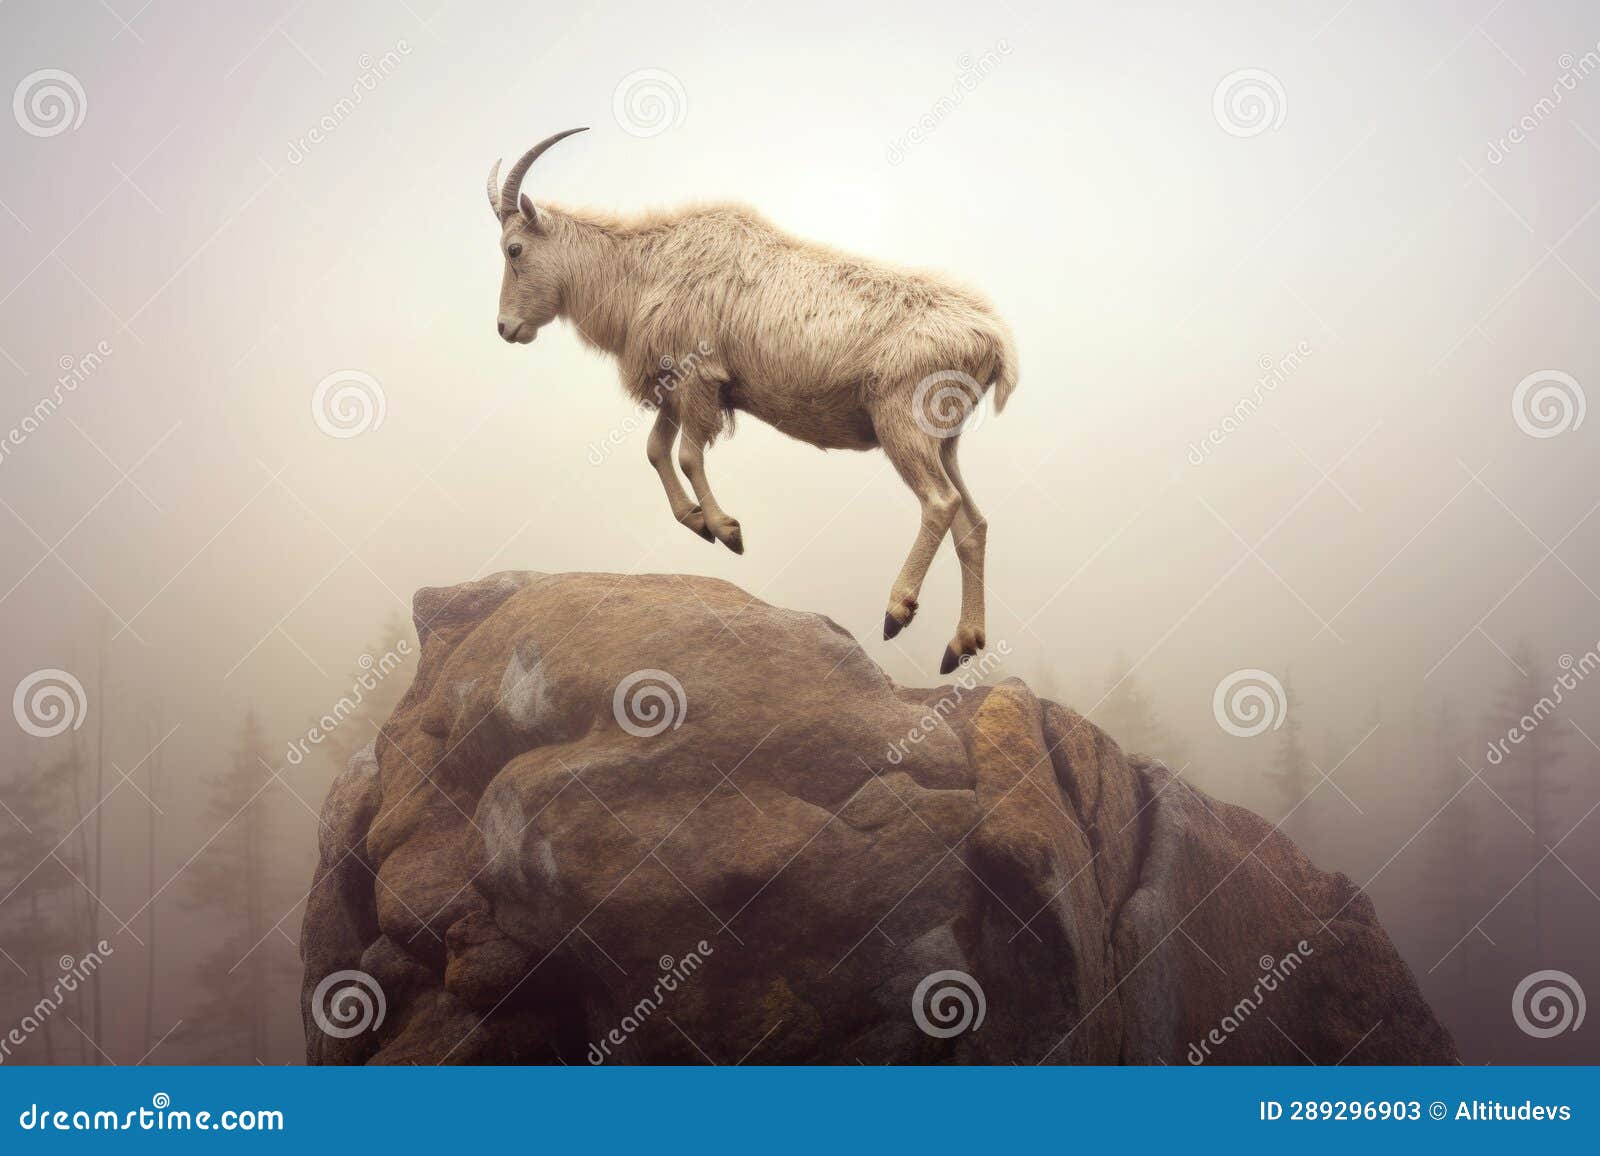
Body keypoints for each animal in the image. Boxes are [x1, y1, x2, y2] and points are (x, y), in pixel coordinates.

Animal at [486, 128, 1018, 674]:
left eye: (514, 249)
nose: (506, 328)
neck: (648, 267)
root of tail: (994, 342)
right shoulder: (674, 389)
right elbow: (656, 451)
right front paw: (697, 522)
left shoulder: (699, 380)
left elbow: (686, 454)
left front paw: (727, 530)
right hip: (943, 440)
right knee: (972, 523)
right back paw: (961, 644)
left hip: (901, 424)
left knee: (941, 503)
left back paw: (898, 610)